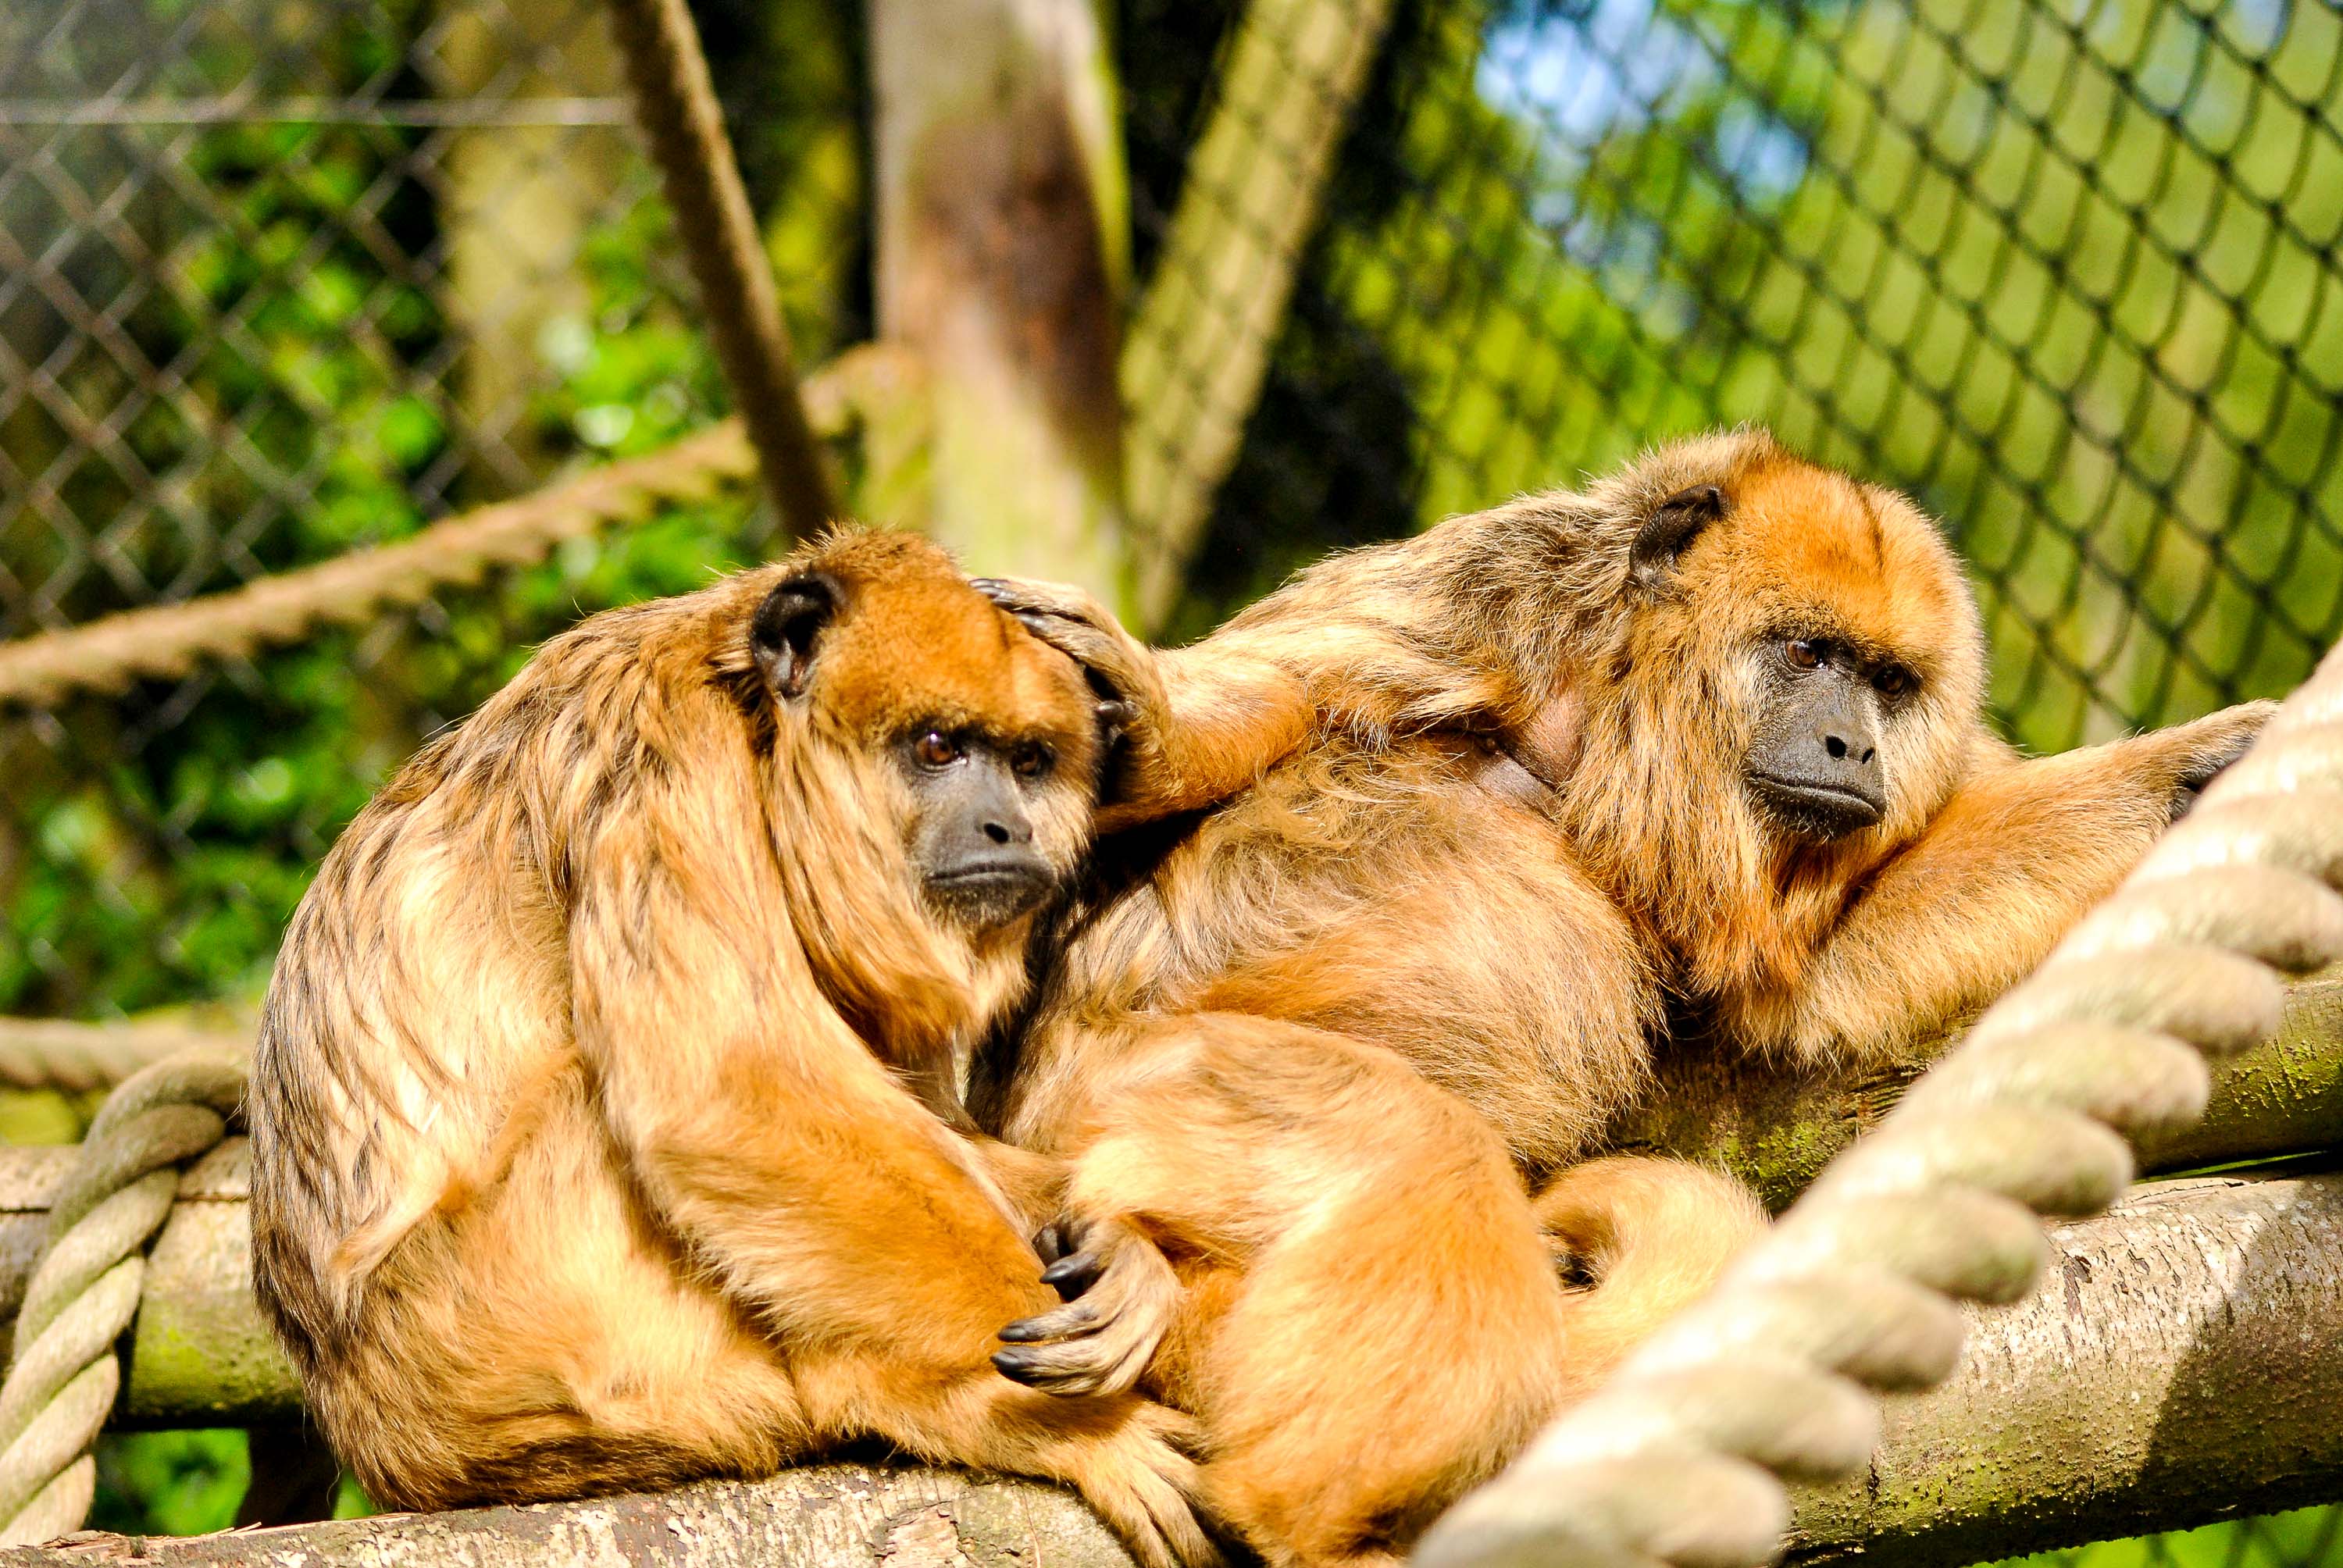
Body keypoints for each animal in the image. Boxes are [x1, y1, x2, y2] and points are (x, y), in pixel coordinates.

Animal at [245, 532, 1215, 1568]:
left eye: (1030, 761)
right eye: (937, 748)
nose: (1007, 825)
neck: (760, 732)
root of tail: (378, 1434)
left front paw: (1120, 1243)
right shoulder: (670, 763)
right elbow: (737, 1095)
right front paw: (1082, 1414)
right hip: (508, 1338)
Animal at [966, 427, 2271, 1566]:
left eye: (1891, 685)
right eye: (1810, 656)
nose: (1853, 747)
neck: (1621, 713)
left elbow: (1832, 965)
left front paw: (2198, 773)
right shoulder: (1489, 593)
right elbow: (1266, 699)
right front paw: (1156, 729)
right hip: (1129, 1089)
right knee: (1411, 1145)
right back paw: (1301, 1508)